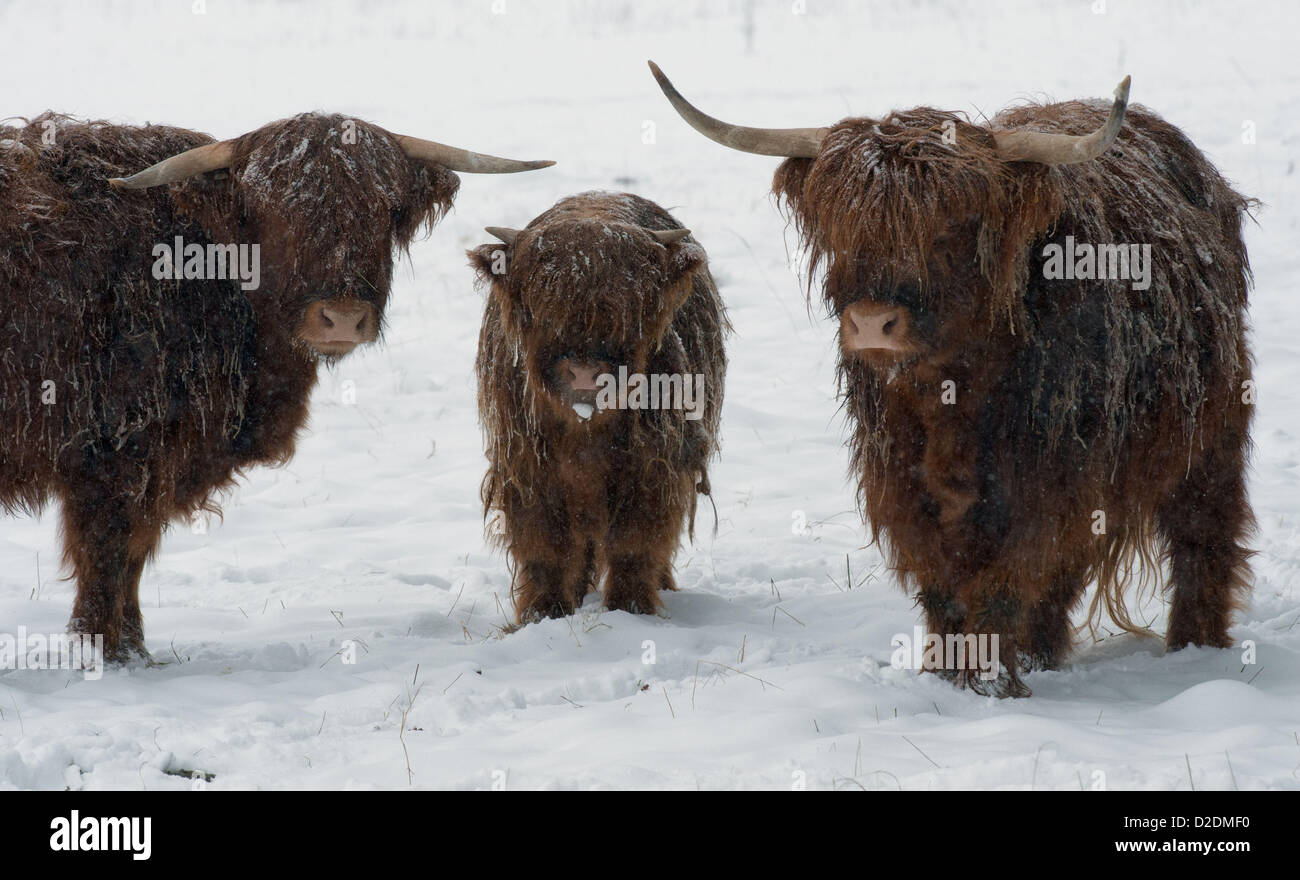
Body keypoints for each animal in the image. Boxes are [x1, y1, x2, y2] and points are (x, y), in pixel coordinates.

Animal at [0, 111, 552, 661]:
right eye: (279, 213)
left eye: (384, 210)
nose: (342, 318)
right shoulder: (118, 450)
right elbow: (109, 553)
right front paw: (103, 652)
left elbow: (131, 556)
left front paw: (134, 651)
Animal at [470, 191, 729, 623]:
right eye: (544, 307)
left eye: (628, 310)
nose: (584, 373)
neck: (585, 431)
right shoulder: (527, 466)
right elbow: (545, 545)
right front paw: (543, 614)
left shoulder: (653, 466)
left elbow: (634, 542)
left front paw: (631, 610)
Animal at [649, 62, 1256, 696]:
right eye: (843, 225)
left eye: (950, 228)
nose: (872, 321)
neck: (951, 394)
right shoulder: (899, 477)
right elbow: (943, 581)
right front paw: (946, 675)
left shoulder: (1047, 480)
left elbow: (1006, 579)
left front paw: (989, 685)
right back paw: (1043, 654)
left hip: (1210, 431)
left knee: (1203, 533)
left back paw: (1196, 648)